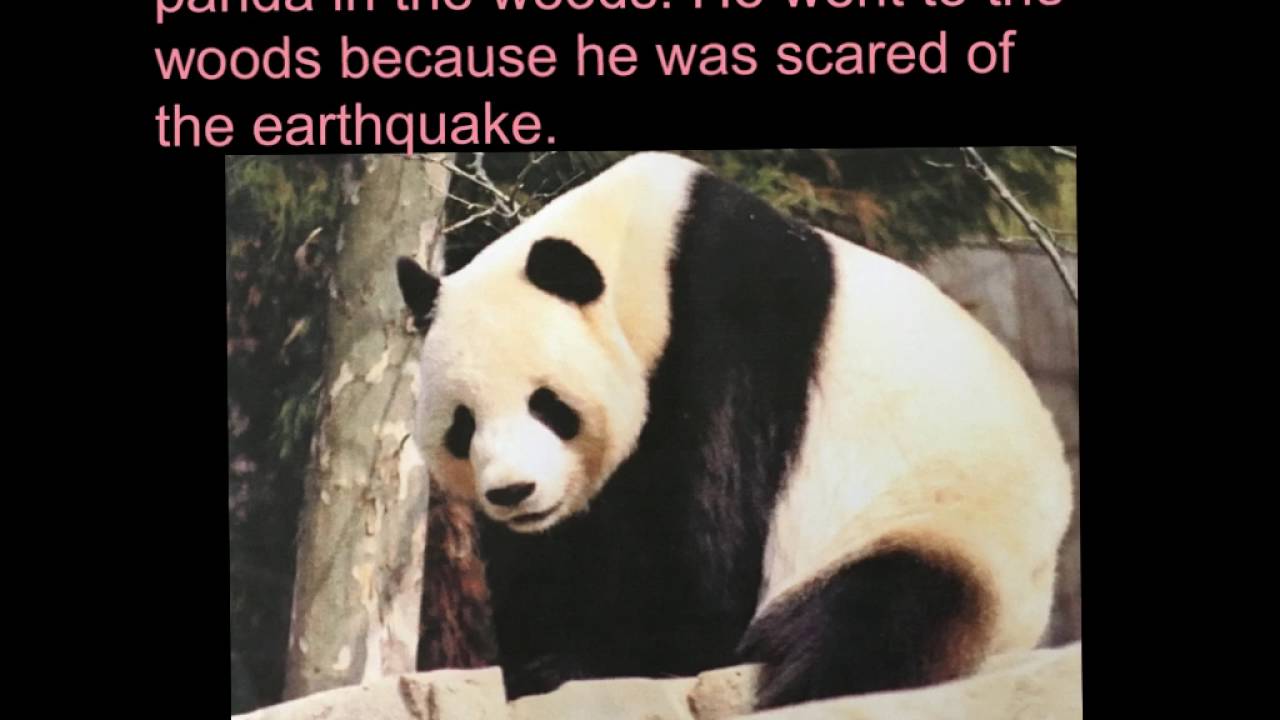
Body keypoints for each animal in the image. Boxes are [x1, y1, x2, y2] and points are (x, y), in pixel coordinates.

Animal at [396, 152, 1074, 710]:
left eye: (547, 405)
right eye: (463, 425)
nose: (514, 492)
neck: (642, 249)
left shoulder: (726, 330)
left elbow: (706, 543)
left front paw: (596, 660)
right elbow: (551, 557)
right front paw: (535, 660)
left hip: (945, 520)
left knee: (880, 615)